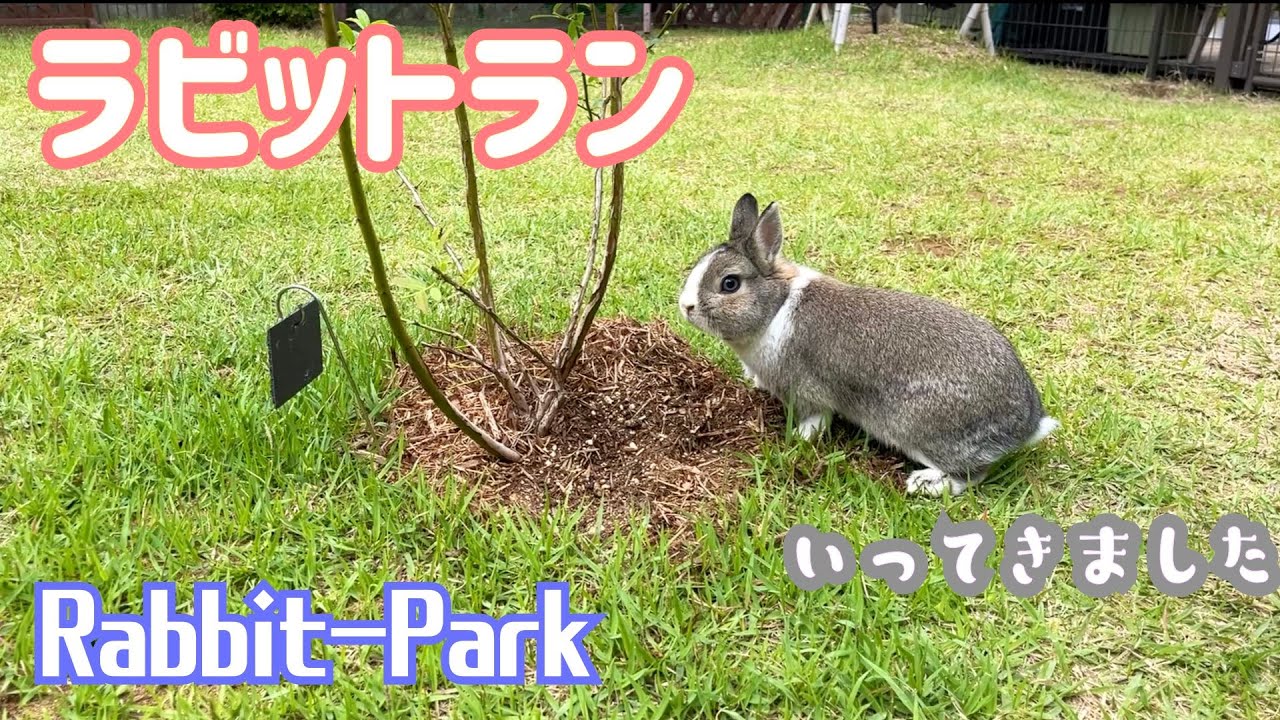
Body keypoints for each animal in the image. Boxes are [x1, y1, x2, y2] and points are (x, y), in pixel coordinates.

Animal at [678, 193, 1059, 497]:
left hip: (921, 430)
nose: (686, 306)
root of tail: (1026, 425)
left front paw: (795, 440)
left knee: (971, 475)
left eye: (729, 284)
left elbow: (815, 422)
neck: (776, 308)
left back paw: (924, 484)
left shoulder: (809, 393)